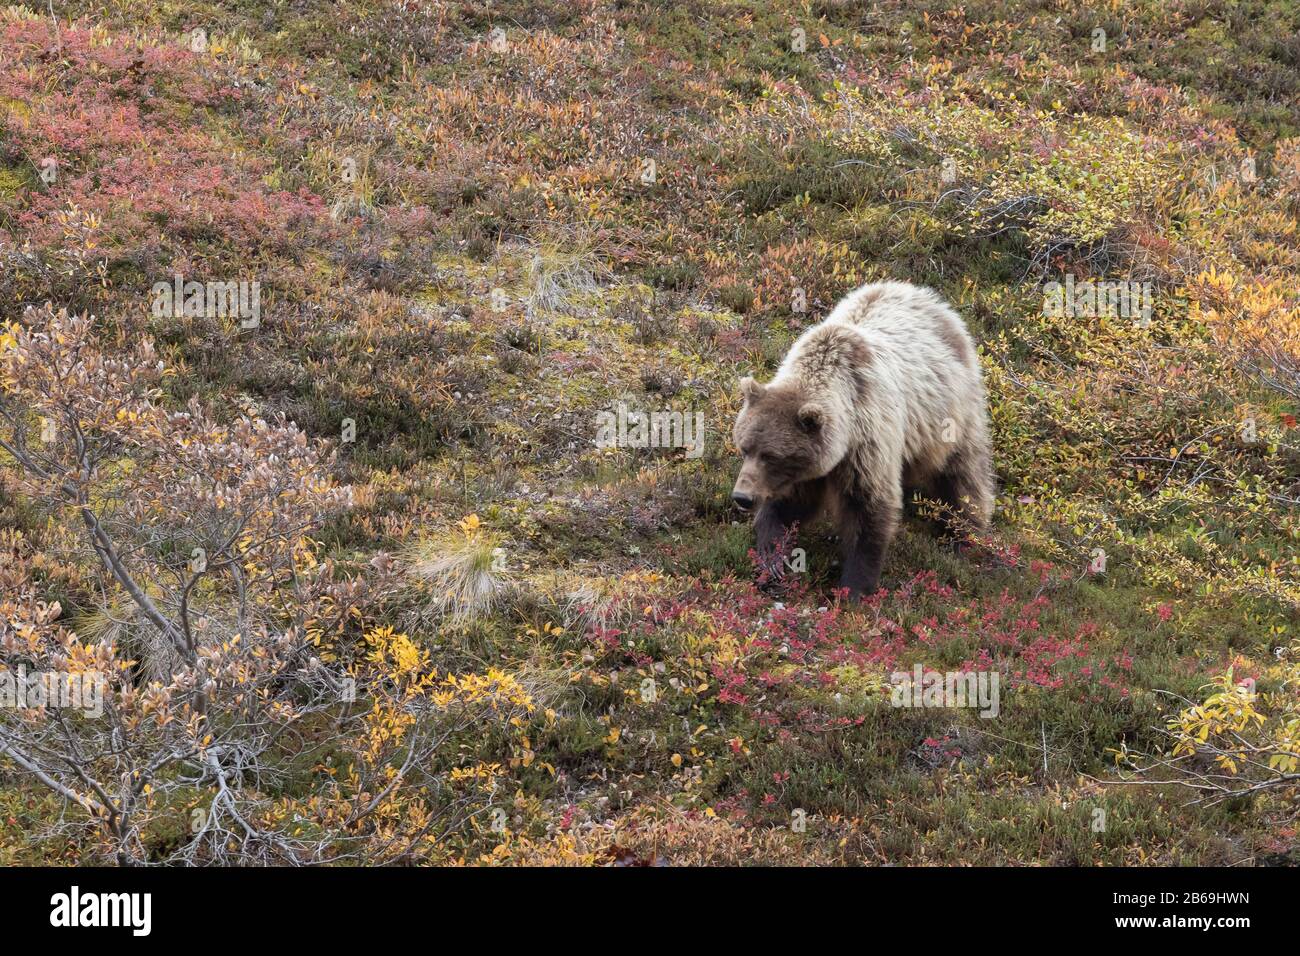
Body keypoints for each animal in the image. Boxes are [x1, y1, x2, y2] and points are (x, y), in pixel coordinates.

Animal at [730, 280, 995, 599]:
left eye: (771, 456)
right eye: (745, 448)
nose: (742, 497)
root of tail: (926, 296)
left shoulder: (866, 441)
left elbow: (868, 510)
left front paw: (853, 588)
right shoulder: (809, 468)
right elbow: (790, 504)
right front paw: (774, 558)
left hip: (952, 415)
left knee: (963, 474)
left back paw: (964, 536)